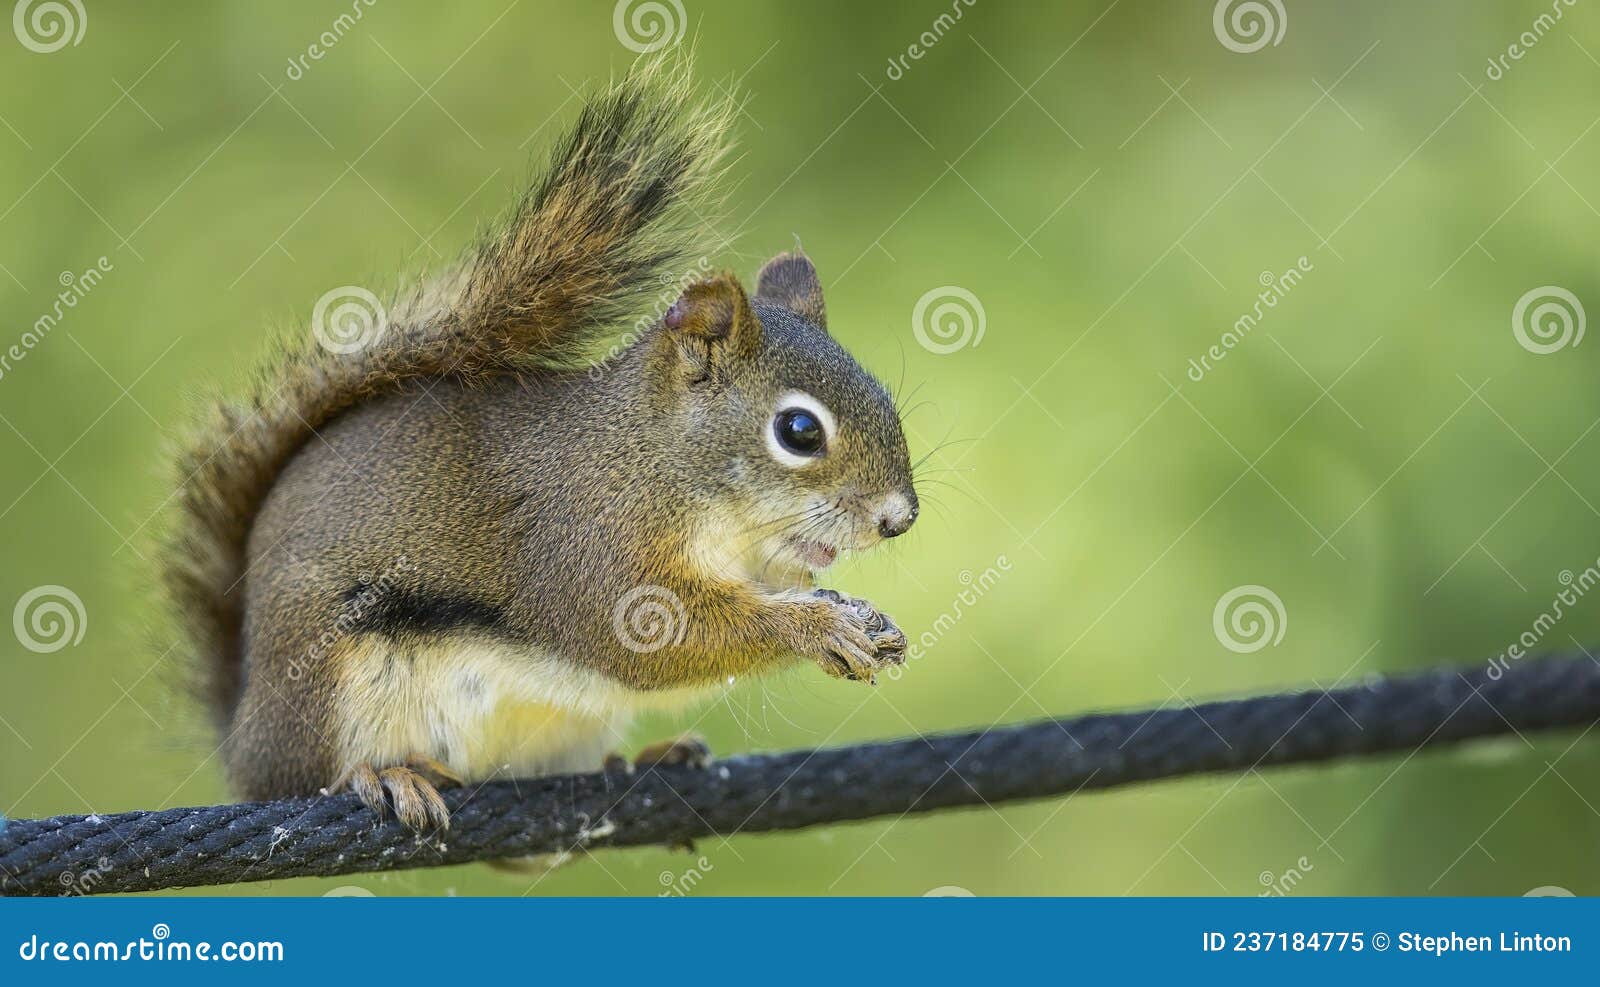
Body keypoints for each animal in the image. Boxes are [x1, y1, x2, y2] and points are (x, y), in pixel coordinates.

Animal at [162, 61, 919, 832]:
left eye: (885, 398)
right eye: (799, 431)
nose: (899, 518)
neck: (656, 462)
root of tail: (245, 740)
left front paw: (861, 616)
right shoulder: (597, 549)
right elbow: (657, 642)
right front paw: (818, 627)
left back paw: (646, 761)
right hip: (328, 686)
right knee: (320, 774)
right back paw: (385, 775)